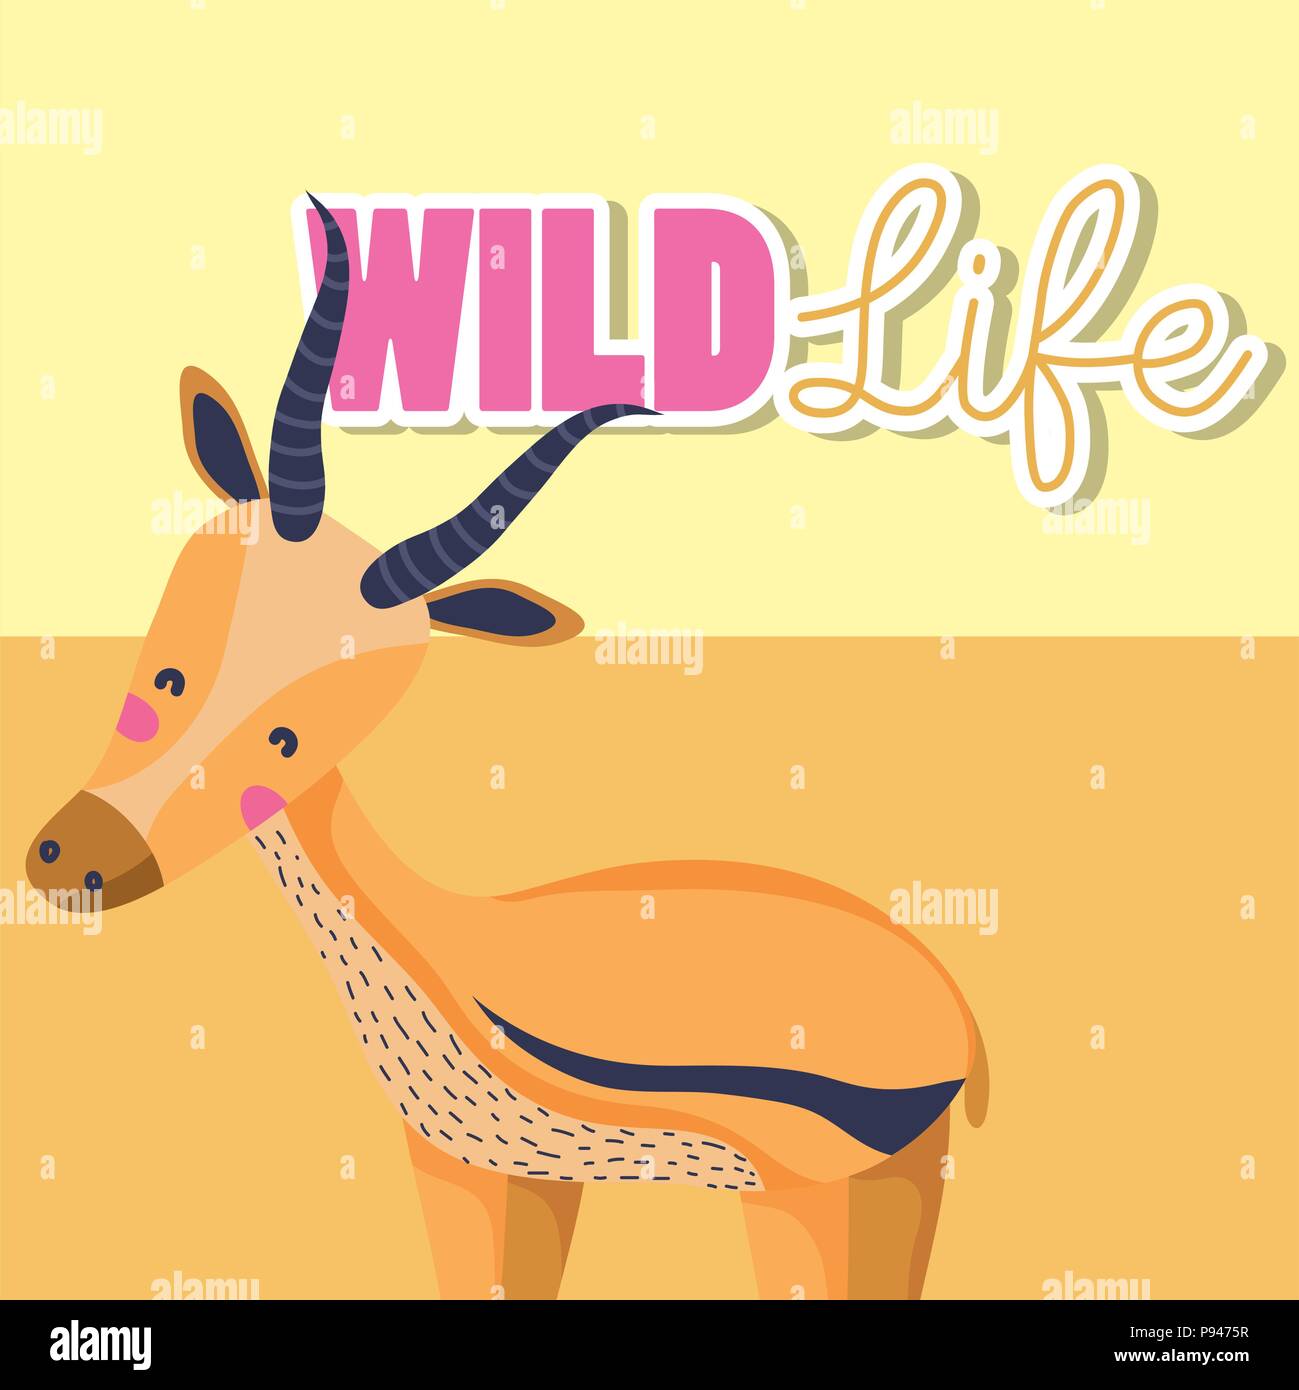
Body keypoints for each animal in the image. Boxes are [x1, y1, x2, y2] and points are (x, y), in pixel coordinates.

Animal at [26, 196, 987, 1301]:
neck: (447, 948)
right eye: (172, 672)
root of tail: (956, 1010)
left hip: (823, 1200)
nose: (73, 861)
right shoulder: (484, 1173)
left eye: (289, 734)